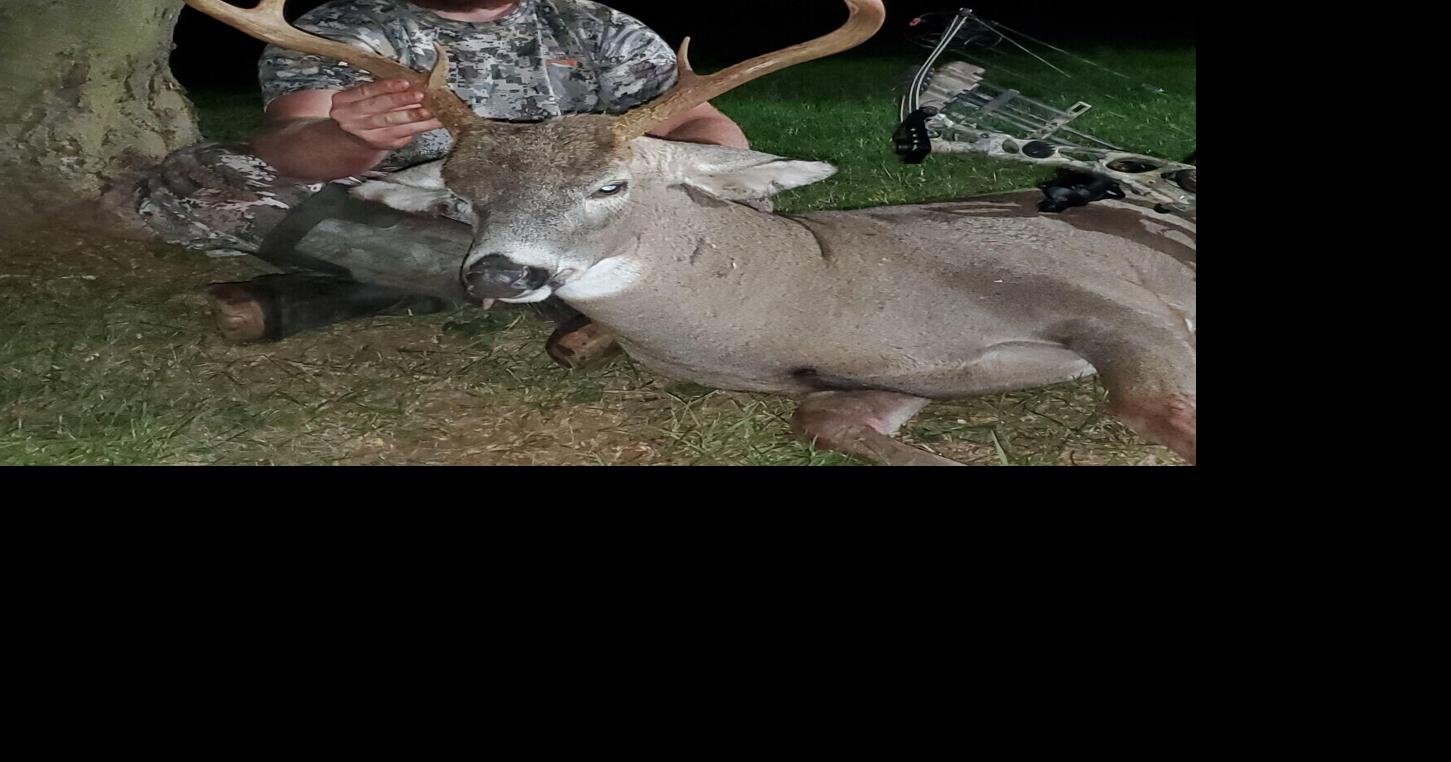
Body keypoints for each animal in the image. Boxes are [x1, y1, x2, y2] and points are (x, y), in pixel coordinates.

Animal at [184, 0, 1196, 466]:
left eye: (610, 183)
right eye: (464, 196)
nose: (499, 275)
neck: (820, 295)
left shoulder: (1110, 298)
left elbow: (1149, 406)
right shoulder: (869, 381)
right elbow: (826, 420)